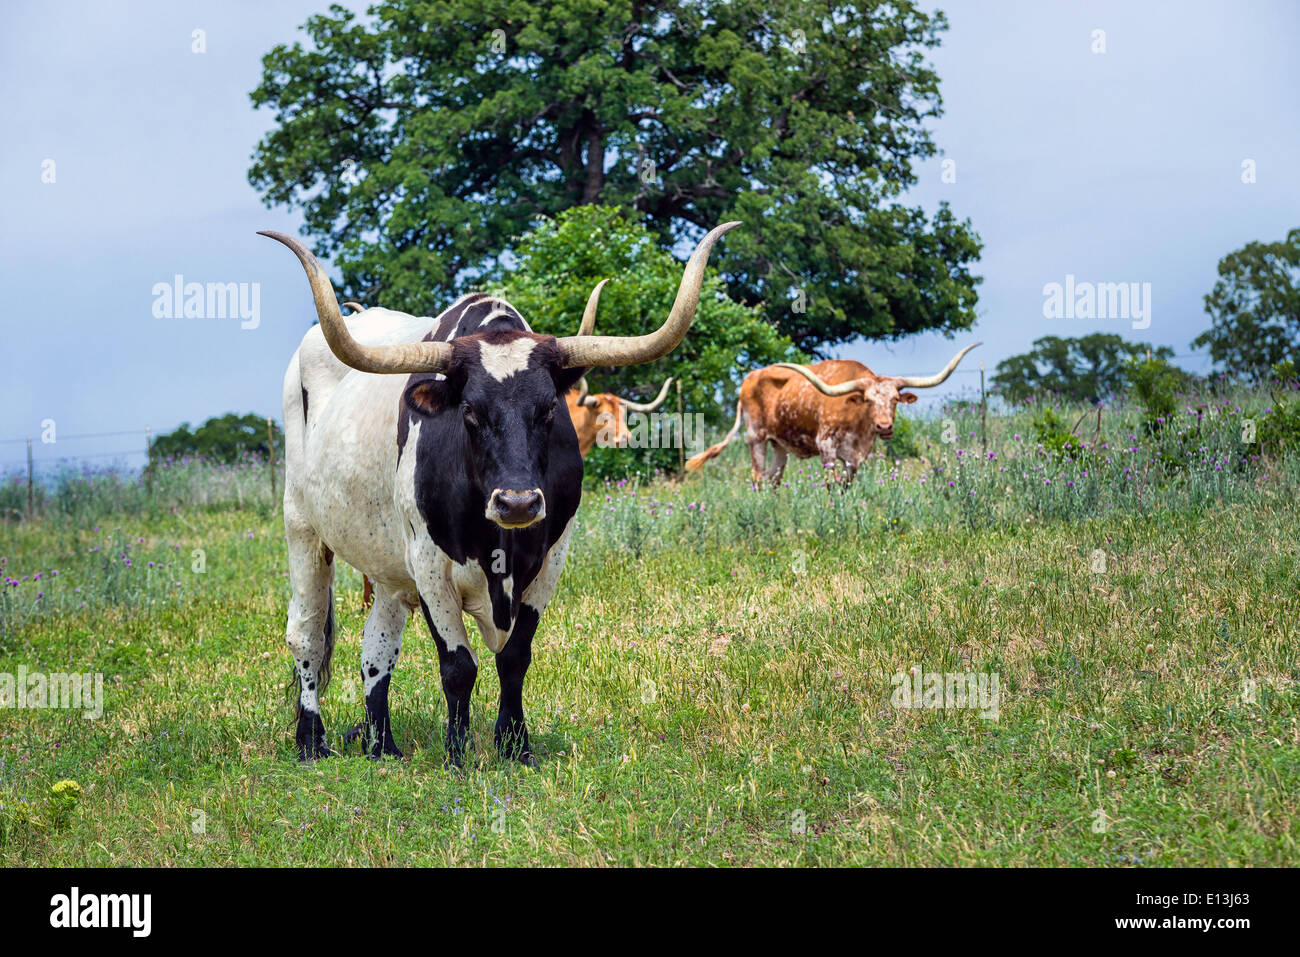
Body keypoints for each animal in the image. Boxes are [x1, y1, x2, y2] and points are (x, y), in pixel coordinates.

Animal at [261, 221, 739, 764]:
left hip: (387, 563)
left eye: (548, 408)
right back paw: (311, 740)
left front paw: (515, 746)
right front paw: (457, 754)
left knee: (376, 647)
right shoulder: (430, 564)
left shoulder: (551, 559)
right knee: (306, 635)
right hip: (301, 525)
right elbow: (458, 666)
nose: (518, 503)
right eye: (469, 411)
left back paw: (382, 745)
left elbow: (514, 658)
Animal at [685, 345, 980, 486]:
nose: (884, 427)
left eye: (895, 400)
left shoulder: (855, 457)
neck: (858, 425)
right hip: (756, 436)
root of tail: (750, 377)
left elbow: (846, 484)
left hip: (779, 444)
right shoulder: (826, 445)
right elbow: (831, 483)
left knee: (773, 479)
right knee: (758, 477)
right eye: (868, 400)